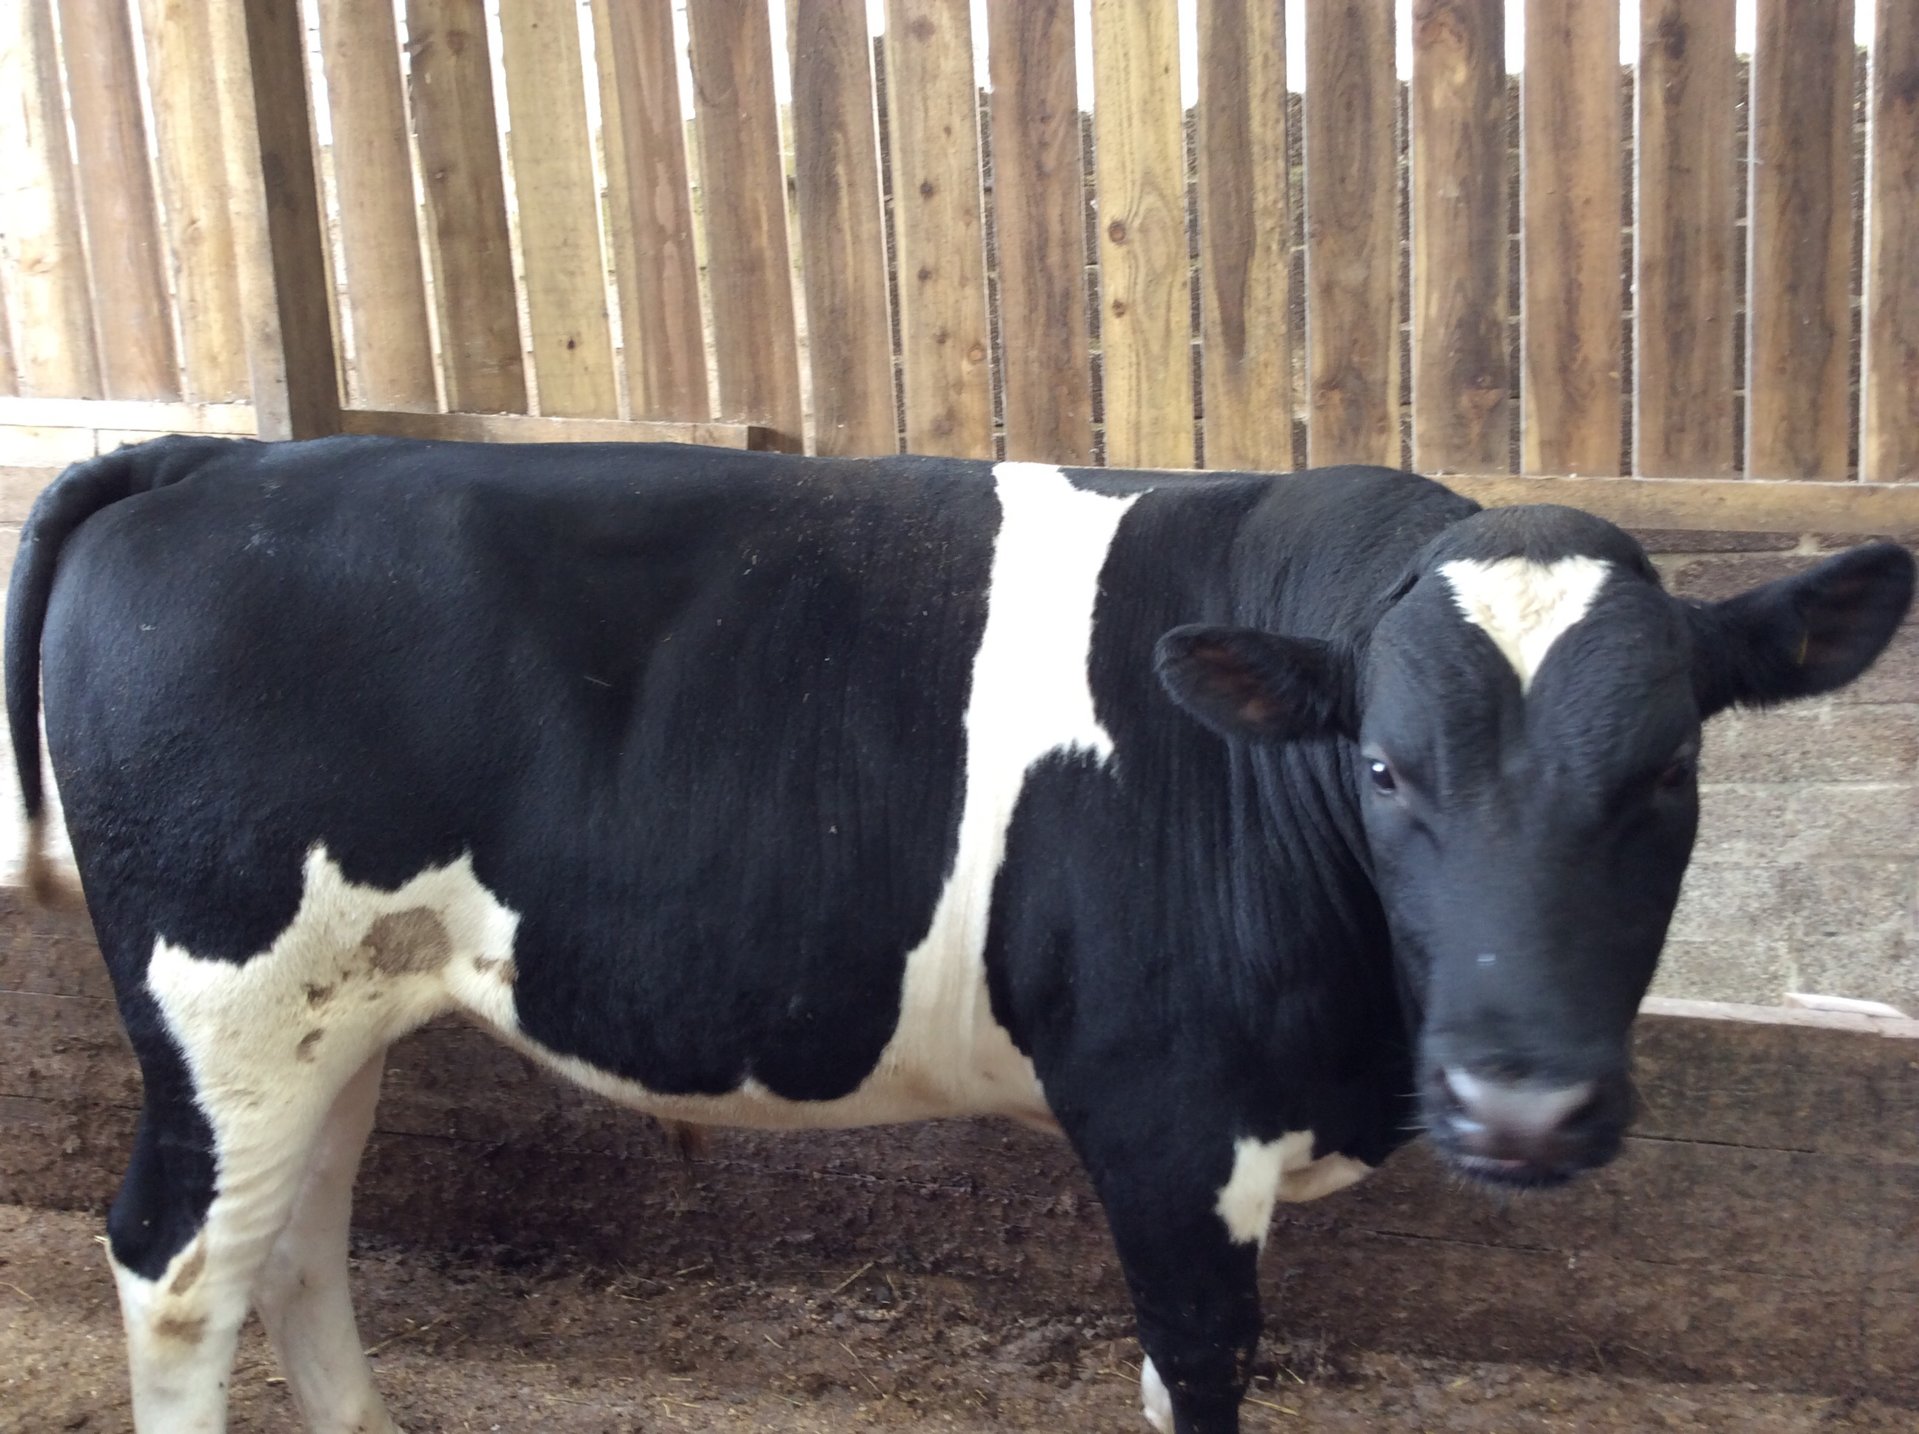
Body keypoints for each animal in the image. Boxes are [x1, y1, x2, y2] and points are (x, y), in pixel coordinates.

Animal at [6, 433, 1911, 1434]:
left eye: (1669, 766)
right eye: (1380, 762)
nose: (1520, 1102)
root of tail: (219, 454)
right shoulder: (1163, 1123)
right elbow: (1197, 1369)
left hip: (336, 1001)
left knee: (296, 1232)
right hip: (222, 1004)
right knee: (178, 1262)